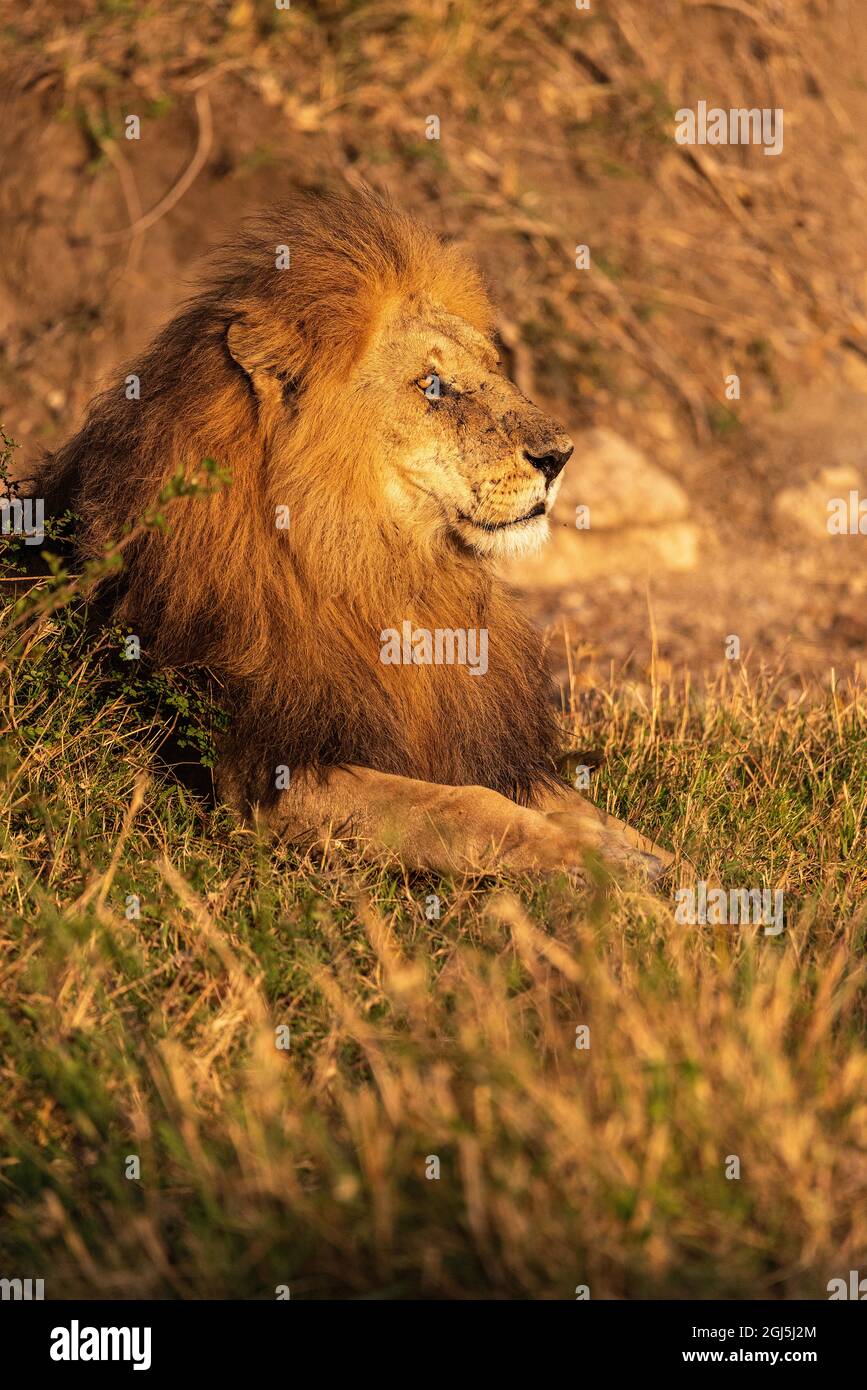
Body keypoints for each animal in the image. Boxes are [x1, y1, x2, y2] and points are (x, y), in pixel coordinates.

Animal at [36, 188, 672, 881]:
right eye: (433, 386)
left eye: (493, 368)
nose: (561, 455)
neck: (387, 570)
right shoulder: (267, 779)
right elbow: (467, 806)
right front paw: (607, 870)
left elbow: (590, 811)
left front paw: (671, 867)